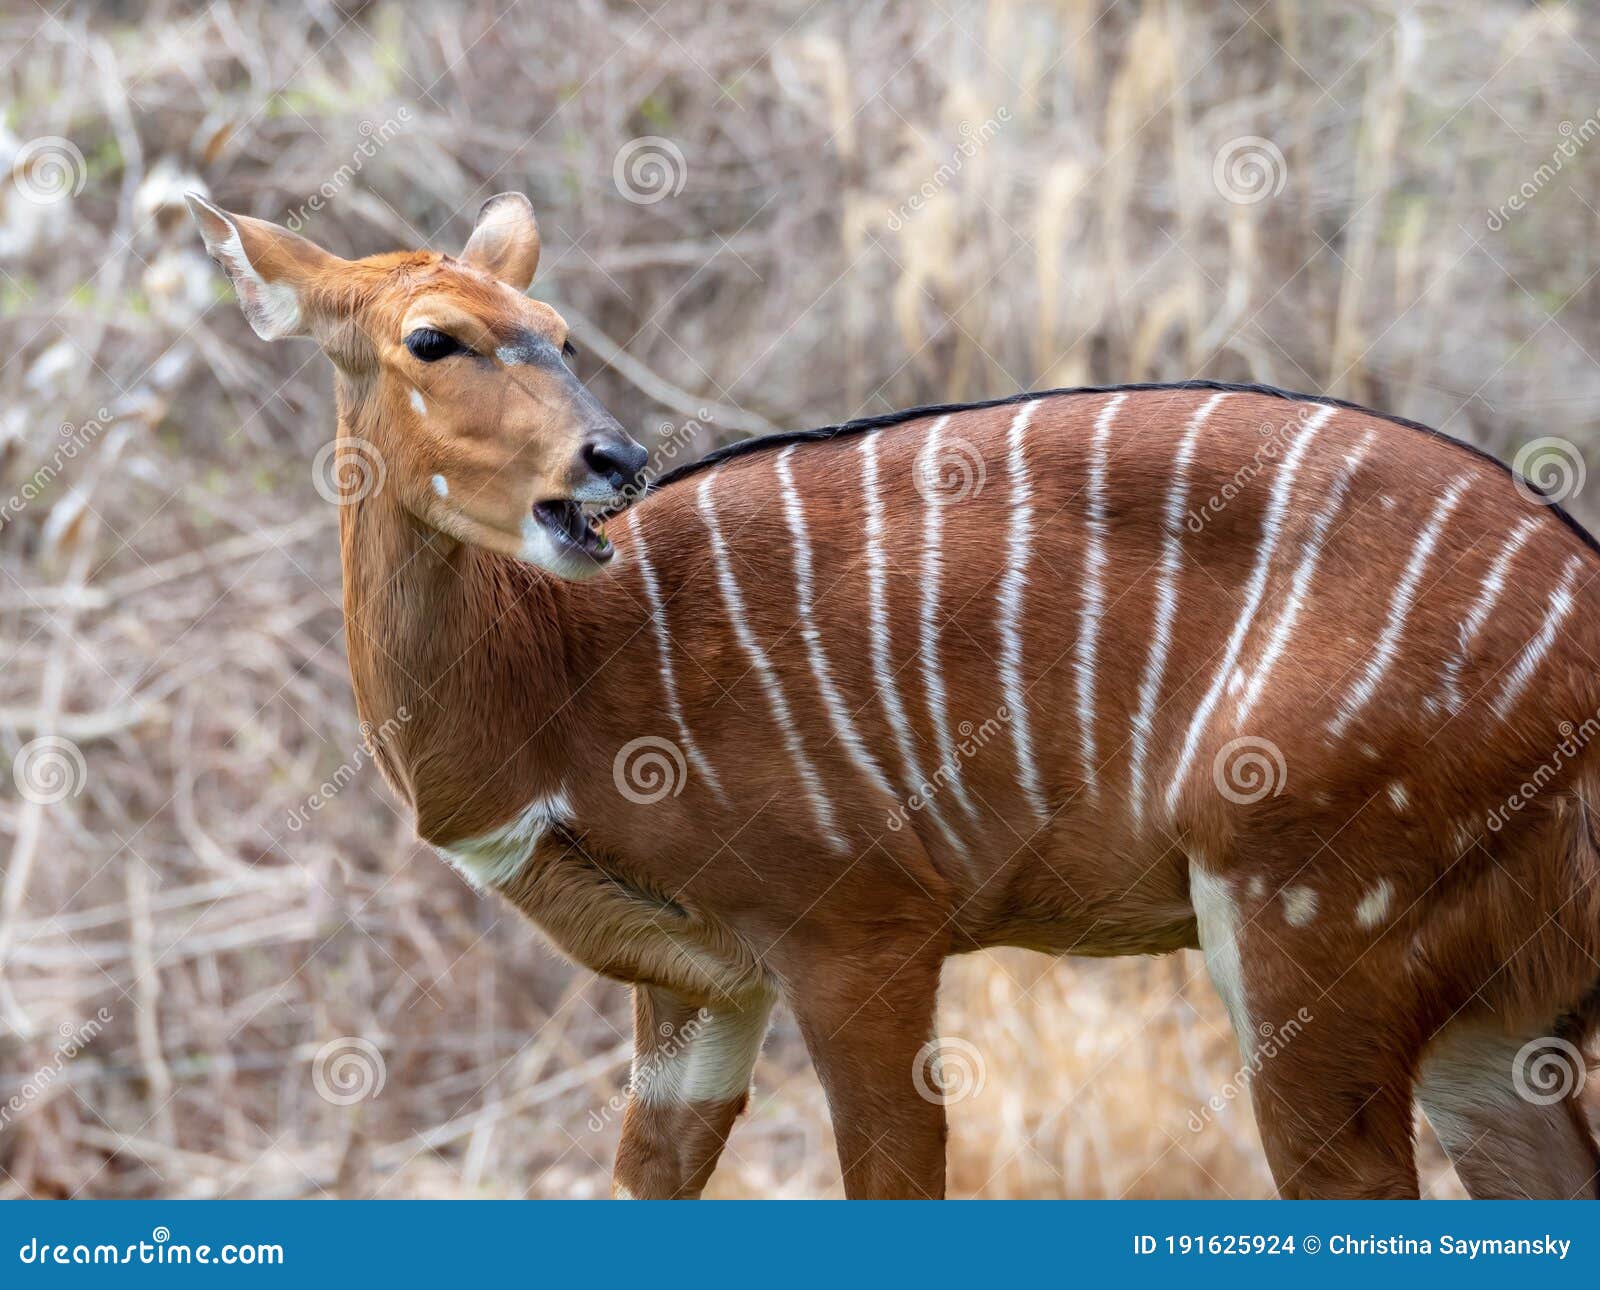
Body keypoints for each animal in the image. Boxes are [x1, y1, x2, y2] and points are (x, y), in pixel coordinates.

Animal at [188, 190, 1600, 1200]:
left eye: (565, 335)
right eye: (434, 338)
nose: (613, 459)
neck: (565, 681)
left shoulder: (857, 932)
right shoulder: (699, 987)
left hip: (1304, 933)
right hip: (1482, 1025)